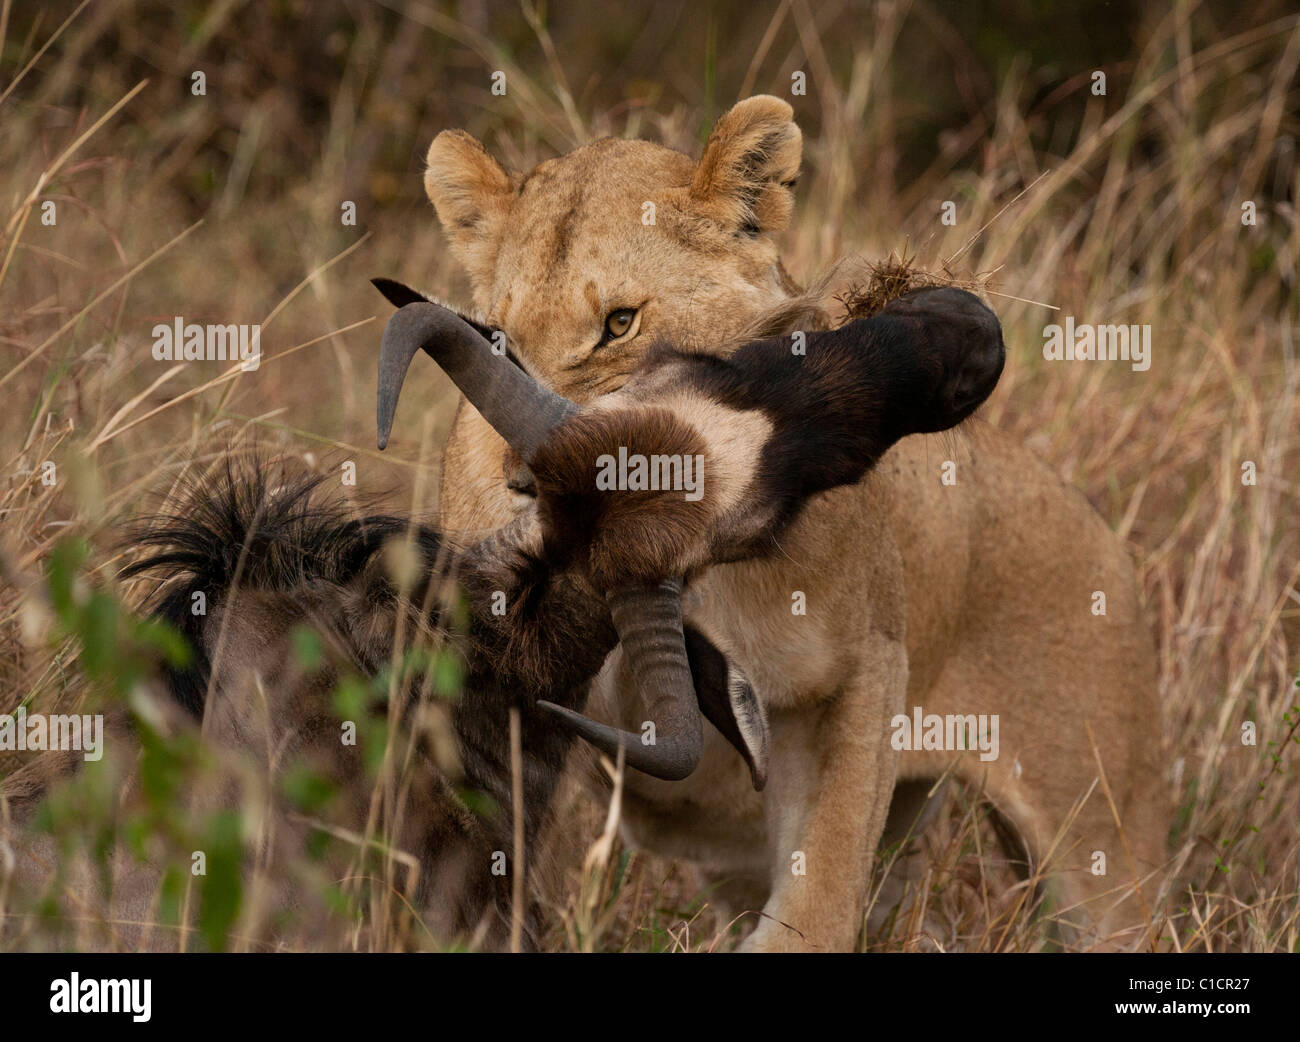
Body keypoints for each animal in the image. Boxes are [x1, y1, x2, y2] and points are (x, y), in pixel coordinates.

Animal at [419, 96, 1167, 952]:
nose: (528, 481)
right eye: (495, 339)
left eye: (619, 323)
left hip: (1104, 849)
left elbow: (821, 888)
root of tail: (1102, 536)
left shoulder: (859, 672)